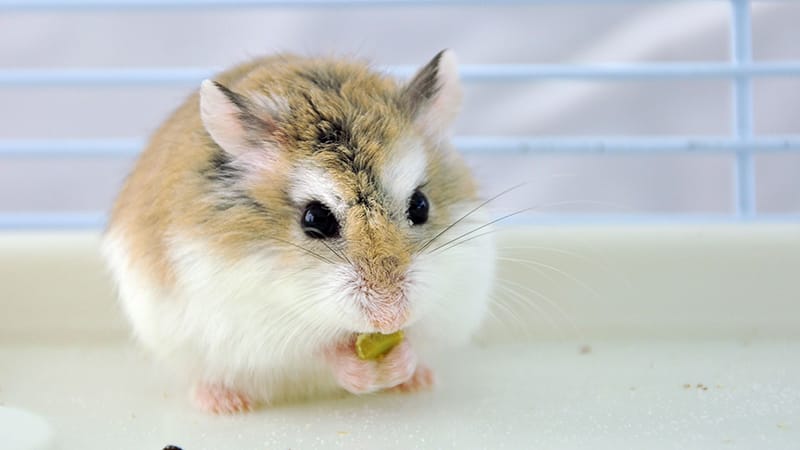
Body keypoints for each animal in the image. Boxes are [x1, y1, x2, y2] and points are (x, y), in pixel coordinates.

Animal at [102, 50, 495, 413]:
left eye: (420, 206)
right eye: (315, 219)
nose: (390, 318)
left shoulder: (454, 297)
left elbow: (416, 339)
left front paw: (401, 366)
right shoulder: (254, 326)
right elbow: (319, 352)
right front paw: (361, 374)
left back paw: (418, 381)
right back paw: (224, 403)